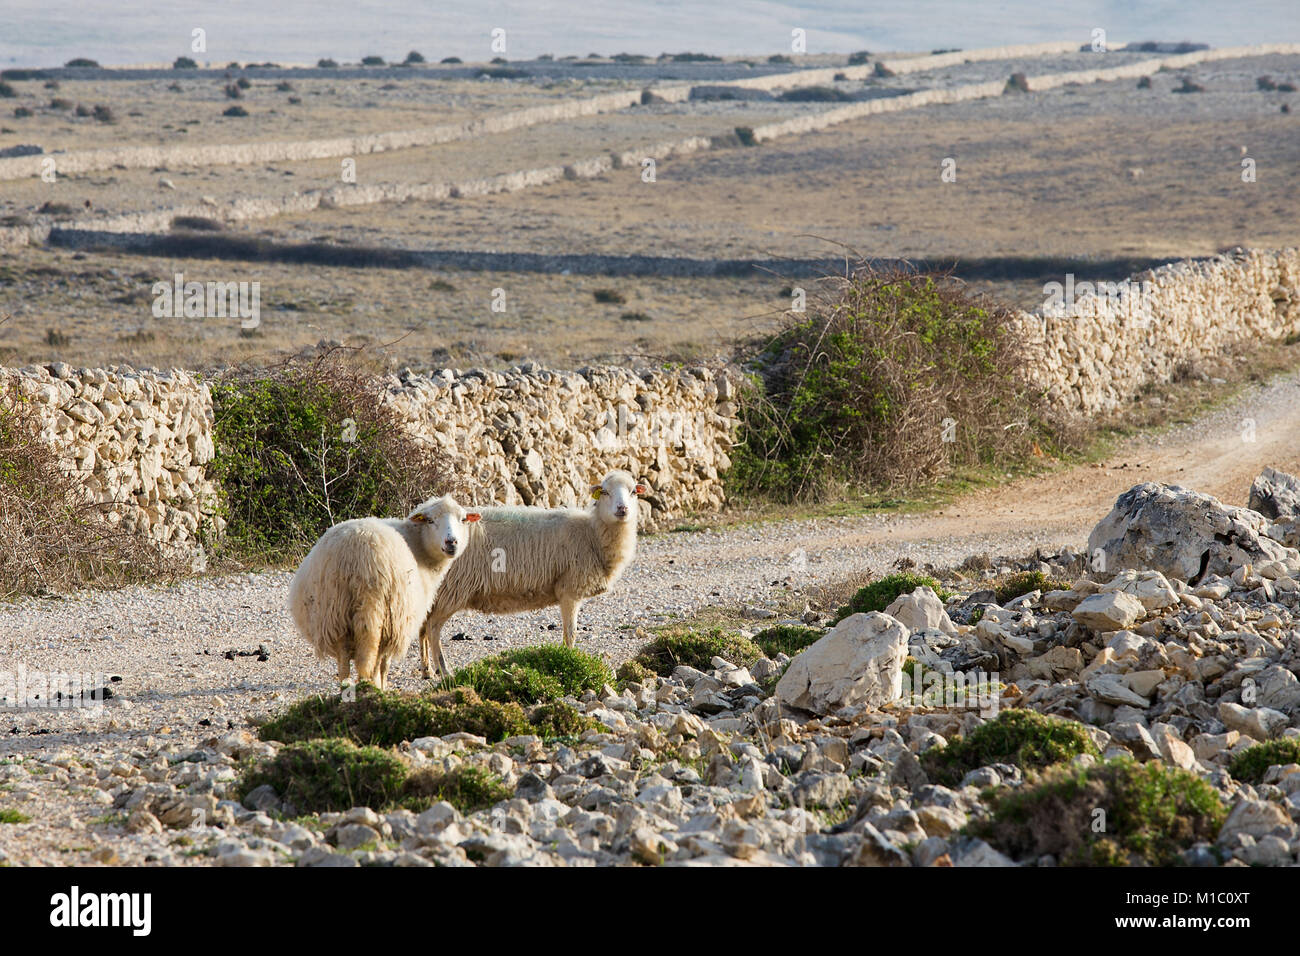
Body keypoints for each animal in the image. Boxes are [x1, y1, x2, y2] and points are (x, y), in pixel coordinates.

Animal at [288, 495, 480, 690]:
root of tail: (360, 561)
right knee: (376, 661)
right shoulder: (400, 624)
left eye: (463, 519)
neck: (418, 547)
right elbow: (384, 665)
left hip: (334, 612)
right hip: (388, 615)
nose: (451, 542)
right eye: (430, 520)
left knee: (344, 661)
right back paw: (376, 688)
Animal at [417, 470, 646, 678]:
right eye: (605, 492)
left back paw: (427, 670)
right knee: (433, 628)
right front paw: (570, 660)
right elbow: (570, 634)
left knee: (423, 627)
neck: (592, 535)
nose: (622, 509)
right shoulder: (569, 590)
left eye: (633, 492)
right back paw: (444, 671)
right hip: (452, 590)